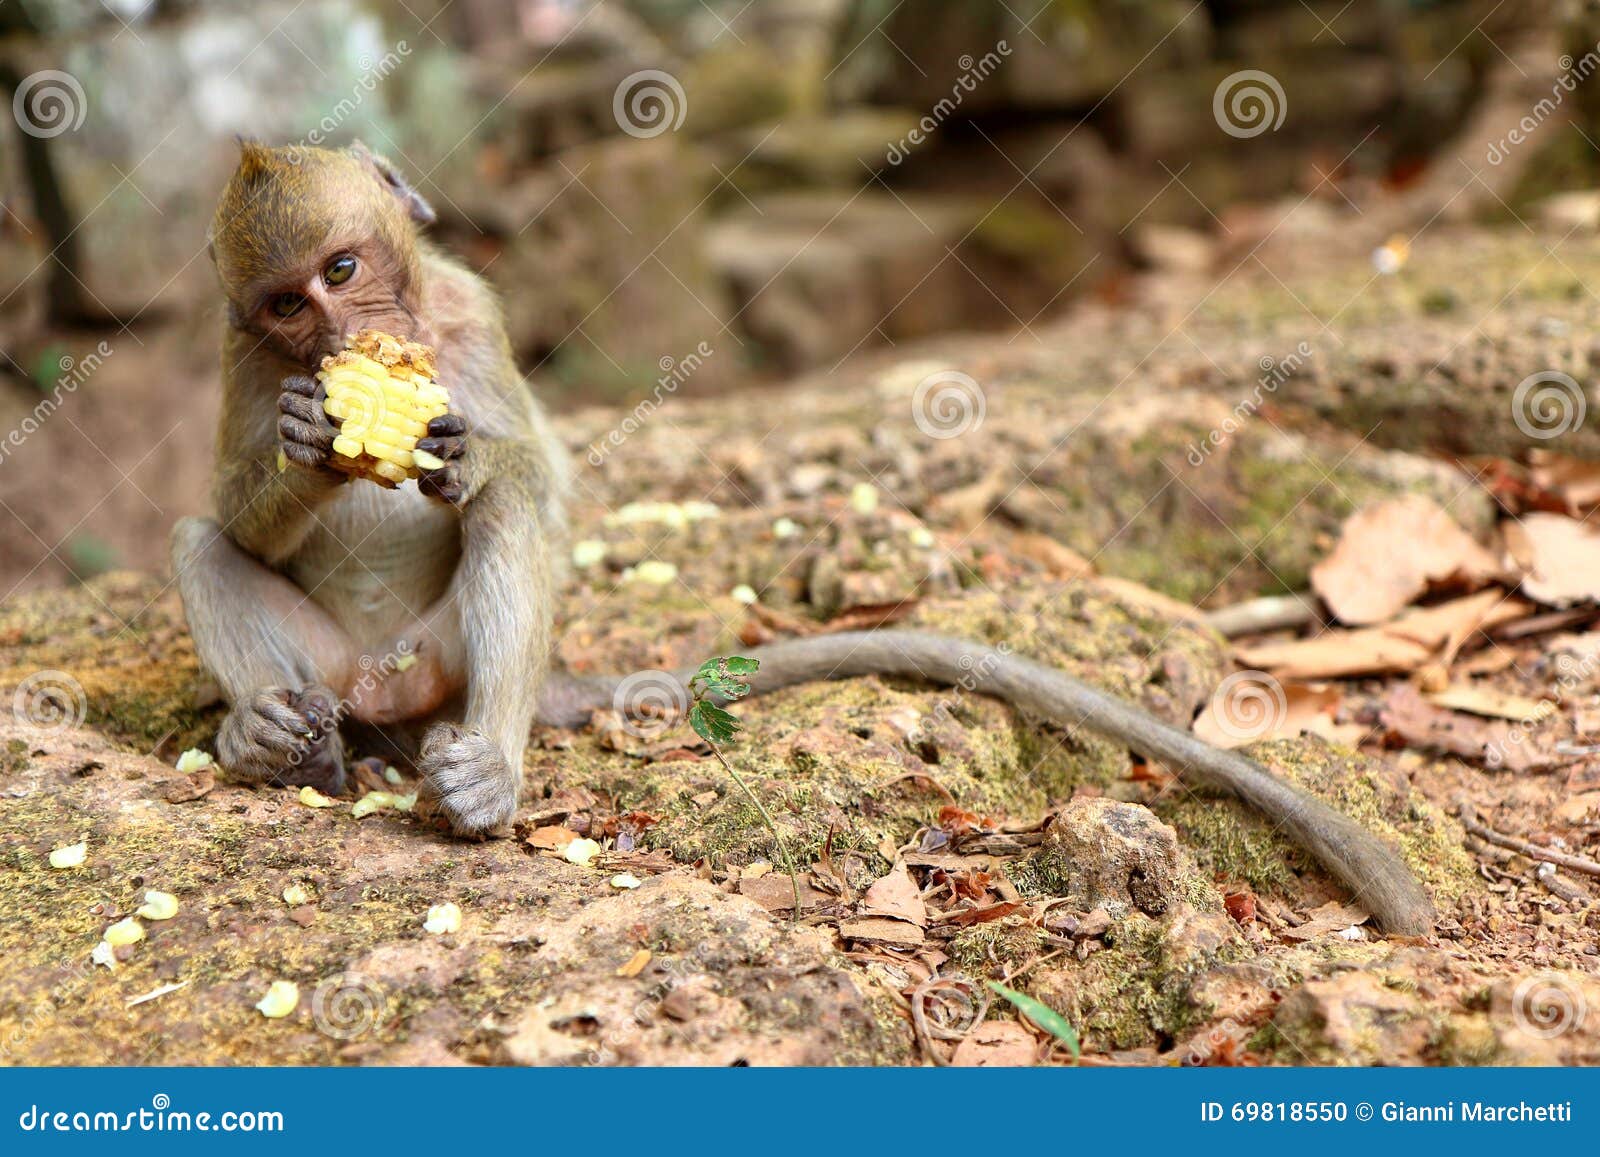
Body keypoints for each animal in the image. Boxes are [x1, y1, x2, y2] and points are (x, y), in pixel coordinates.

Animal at [173, 142, 1432, 938]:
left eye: (344, 270)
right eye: (288, 303)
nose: (338, 331)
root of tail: (394, 688)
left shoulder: (471, 309)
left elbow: (534, 482)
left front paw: (469, 455)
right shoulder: (240, 353)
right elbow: (231, 507)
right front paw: (305, 443)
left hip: (441, 657)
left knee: (504, 528)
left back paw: (485, 765)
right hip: (340, 669)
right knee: (199, 542)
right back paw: (276, 739)